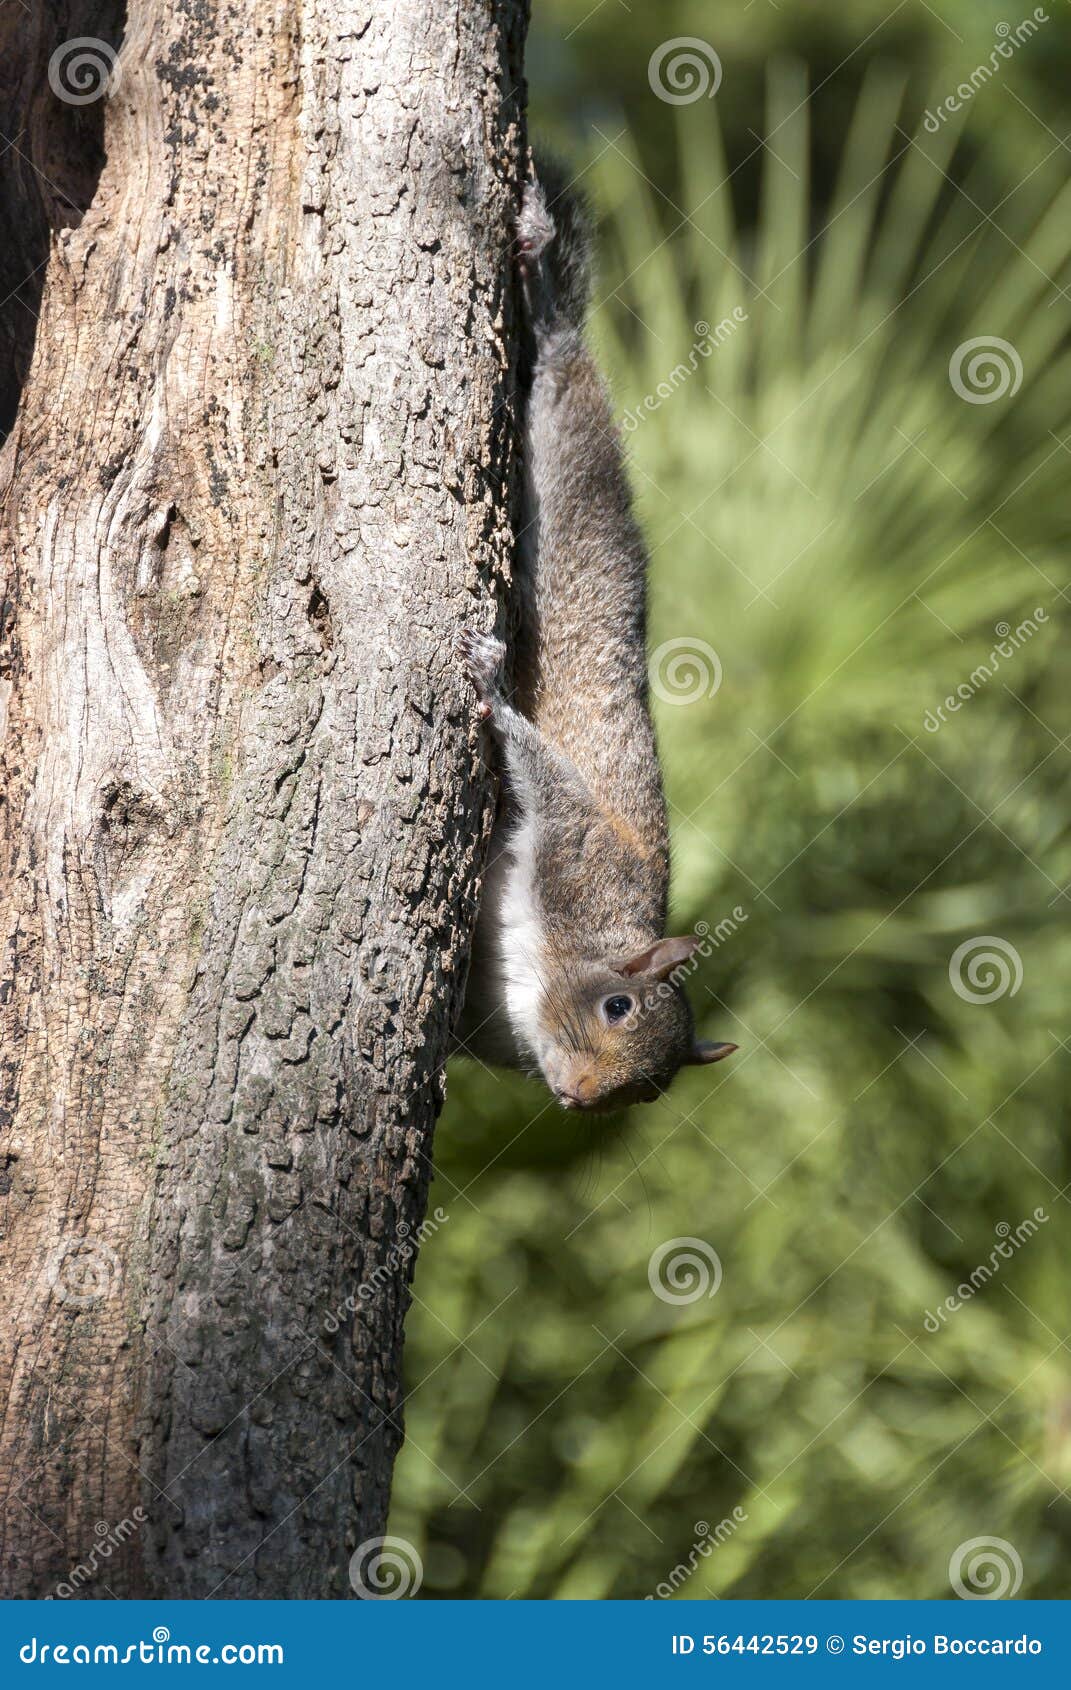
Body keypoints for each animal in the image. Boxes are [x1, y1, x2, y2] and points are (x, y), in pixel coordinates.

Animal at [456, 157, 736, 1113]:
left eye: (648, 1092)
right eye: (616, 1004)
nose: (579, 1096)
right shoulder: (580, 857)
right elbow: (548, 778)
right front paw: (490, 687)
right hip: (570, 463)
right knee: (555, 358)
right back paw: (540, 272)